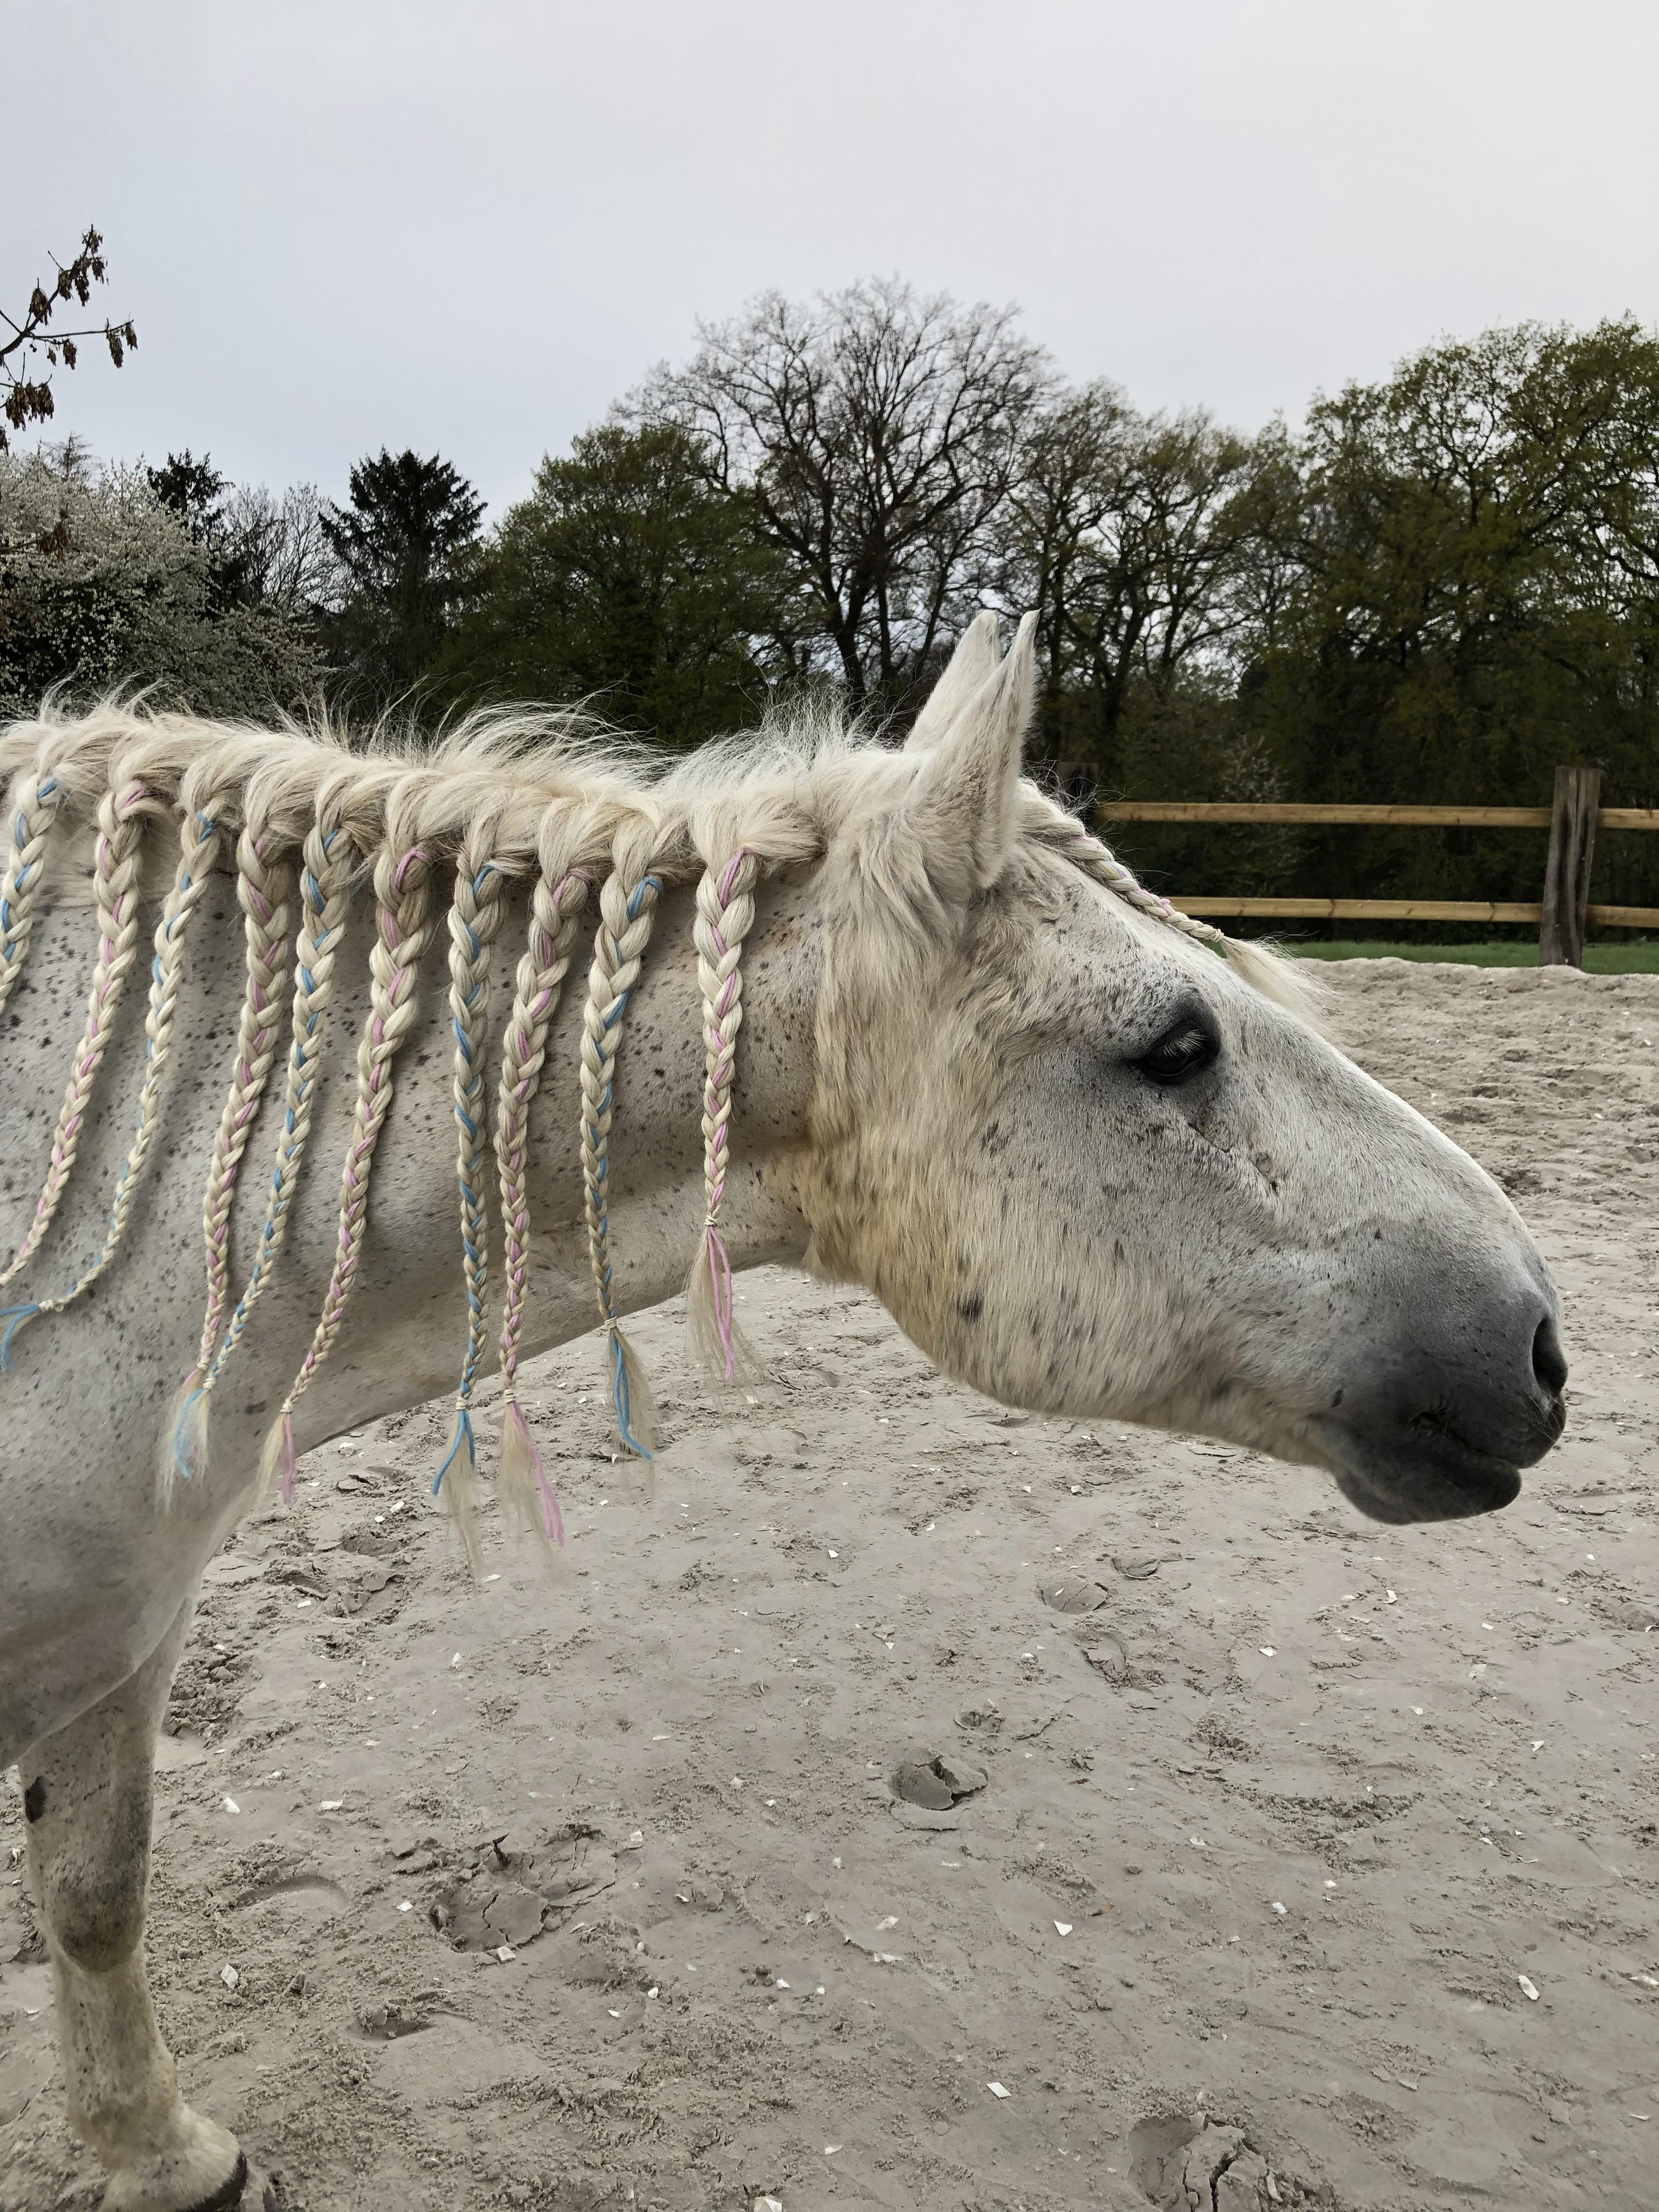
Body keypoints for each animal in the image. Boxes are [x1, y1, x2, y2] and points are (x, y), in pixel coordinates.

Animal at [0, 615, 1566, 2212]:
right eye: (1177, 1046)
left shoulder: (112, 1646)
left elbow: (96, 1899)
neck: (96, 1236)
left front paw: (163, 2155)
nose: (1539, 1342)